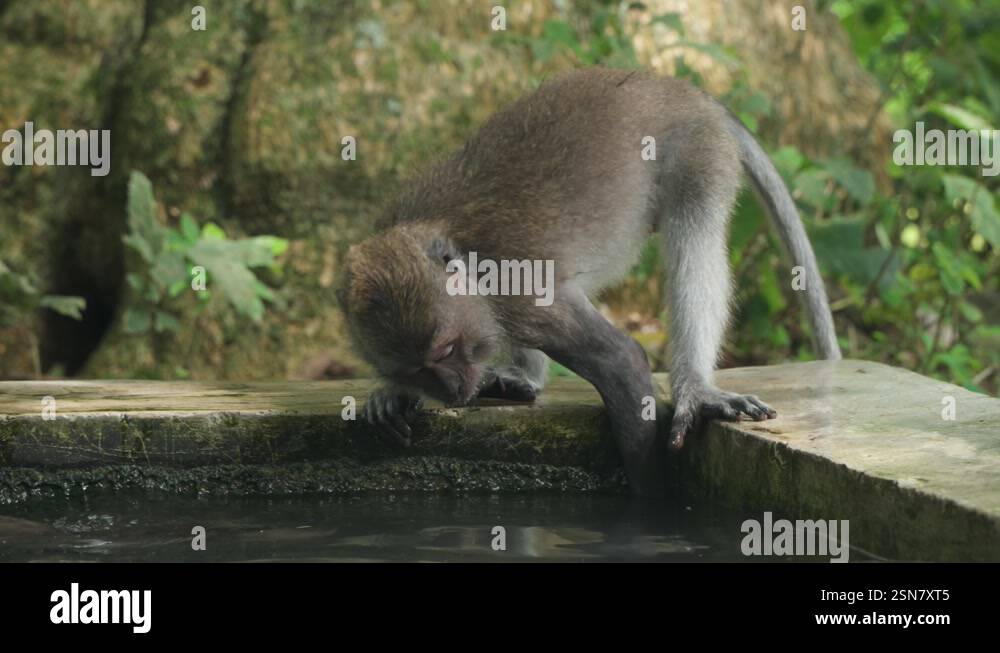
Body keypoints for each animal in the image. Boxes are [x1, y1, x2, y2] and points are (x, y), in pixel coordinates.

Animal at [337, 68, 840, 496]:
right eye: (413, 369)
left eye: (444, 351)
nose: (452, 392)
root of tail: (676, 86)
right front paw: (393, 397)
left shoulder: (523, 298)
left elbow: (623, 361)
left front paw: (650, 503)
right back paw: (521, 377)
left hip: (698, 149)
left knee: (695, 234)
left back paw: (695, 388)